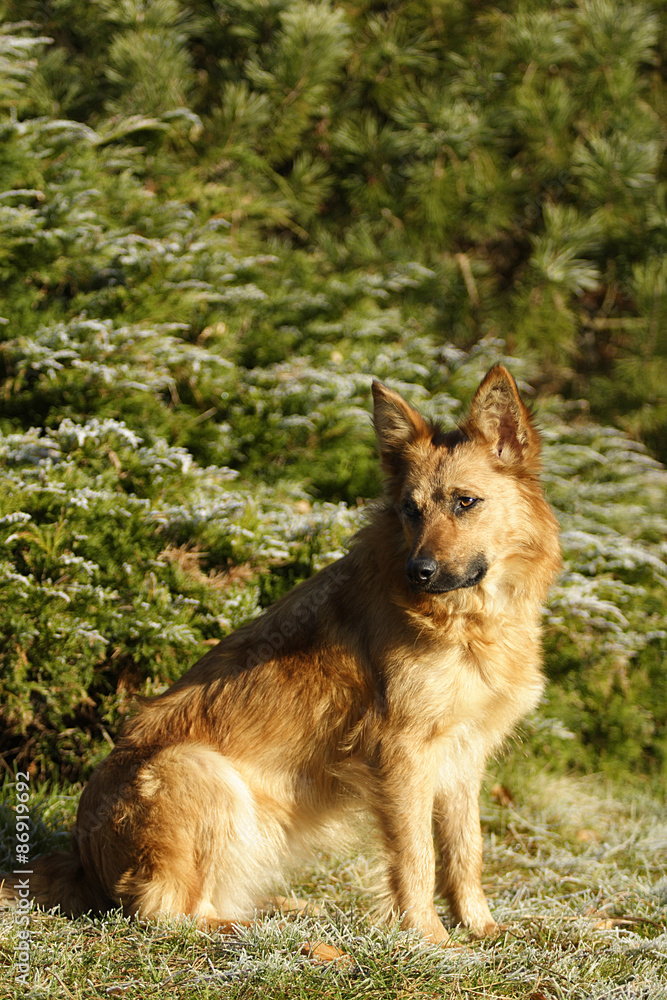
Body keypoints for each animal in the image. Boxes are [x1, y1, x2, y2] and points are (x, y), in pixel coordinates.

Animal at [1, 365, 561, 945]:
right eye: (410, 509)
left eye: (465, 502)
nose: (419, 572)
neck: (469, 620)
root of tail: (81, 859)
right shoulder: (400, 753)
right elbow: (416, 857)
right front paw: (429, 938)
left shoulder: (463, 757)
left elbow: (465, 850)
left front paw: (481, 928)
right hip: (197, 769)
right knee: (167, 911)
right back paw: (257, 928)